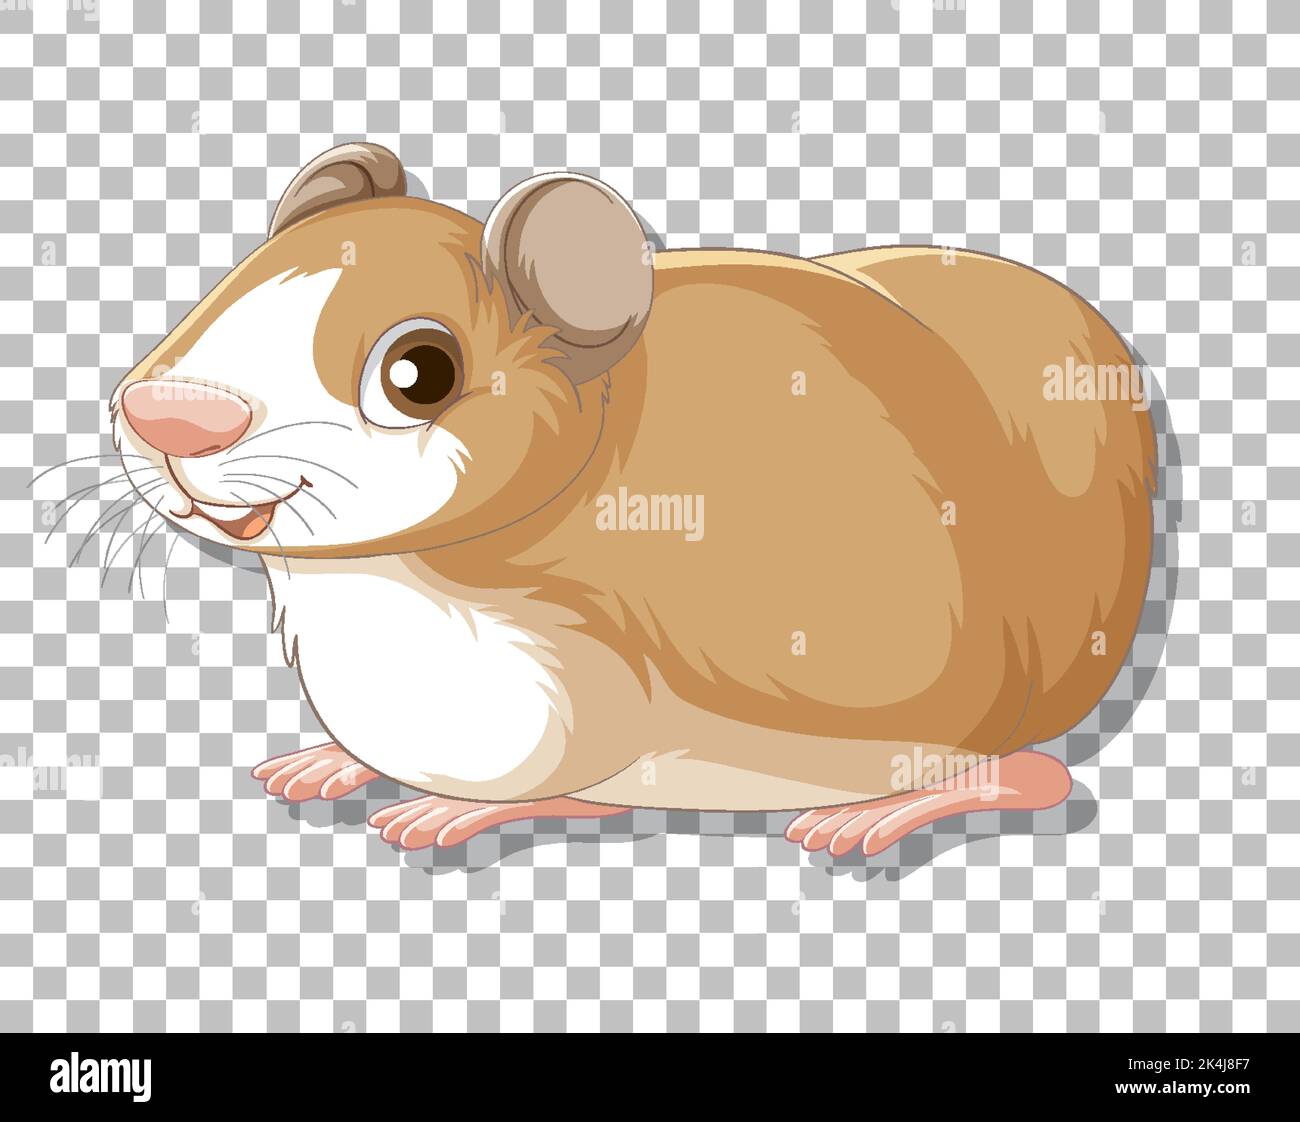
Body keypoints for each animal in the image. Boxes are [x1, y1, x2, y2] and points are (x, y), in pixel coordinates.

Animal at [110, 143, 1156, 856]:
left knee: (1034, 774)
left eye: (419, 372)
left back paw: (877, 817)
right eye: (227, 289)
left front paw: (447, 809)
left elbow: (576, 788)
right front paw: (331, 761)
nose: (169, 417)